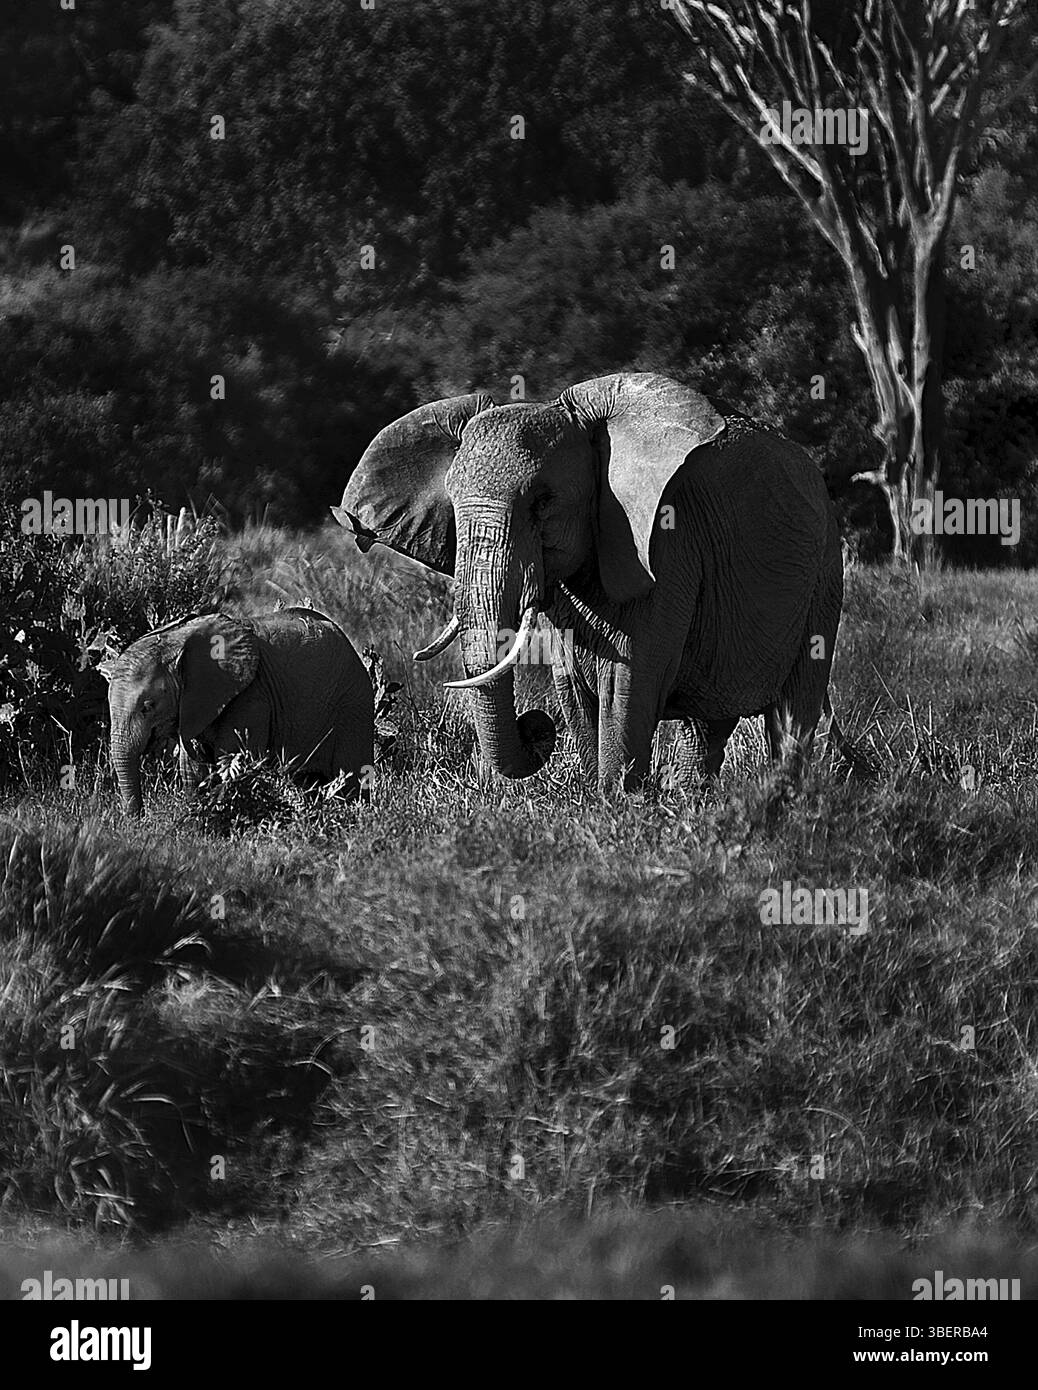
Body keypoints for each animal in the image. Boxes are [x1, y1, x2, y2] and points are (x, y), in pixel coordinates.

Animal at [100, 607, 375, 815]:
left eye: (148, 707)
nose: (138, 819)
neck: (174, 641)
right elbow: (191, 767)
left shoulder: (252, 698)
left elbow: (232, 762)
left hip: (353, 704)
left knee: (352, 778)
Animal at [333, 372, 845, 794]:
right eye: (453, 508)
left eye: (542, 503)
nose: (535, 727)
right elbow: (572, 688)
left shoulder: (665, 543)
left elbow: (625, 684)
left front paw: (616, 803)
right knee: (708, 719)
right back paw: (690, 798)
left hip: (824, 572)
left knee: (794, 710)